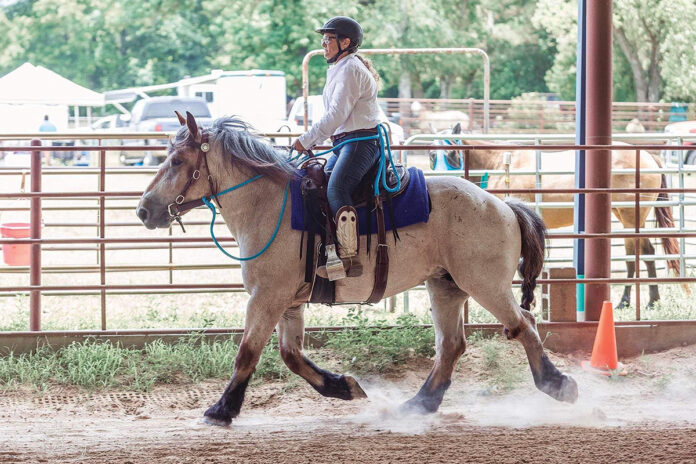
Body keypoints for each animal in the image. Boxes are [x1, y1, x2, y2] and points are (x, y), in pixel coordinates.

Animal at [136, 113, 578, 427]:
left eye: (177, 160)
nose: (143, 210)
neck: (268, 204)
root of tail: (503, 205)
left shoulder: (265, 297)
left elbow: (247, 353)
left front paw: (222, 409)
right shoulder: (287, 302)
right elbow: (290, 355)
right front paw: (344, 387)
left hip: (485, 284)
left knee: (524, 325)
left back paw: (559, 385)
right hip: (446, 286)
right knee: (451, 345)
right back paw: (419, 404)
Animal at [431, 123, 682, 309]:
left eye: (452, 152)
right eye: (432, 154)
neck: (497, 164)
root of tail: (649, 157)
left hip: (631, 218)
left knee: (640, 254)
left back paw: (634, 301)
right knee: (642, 253)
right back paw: (644, 300)